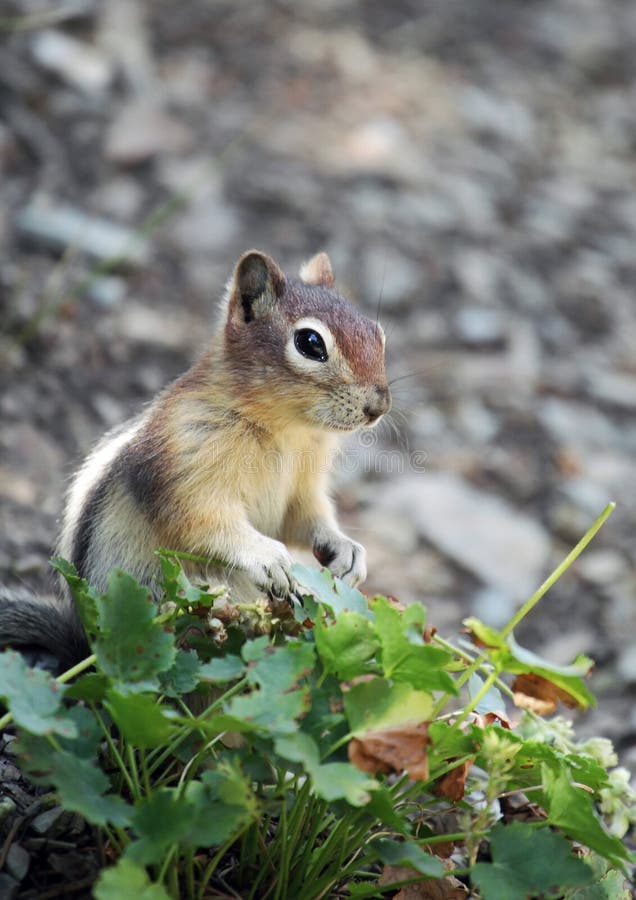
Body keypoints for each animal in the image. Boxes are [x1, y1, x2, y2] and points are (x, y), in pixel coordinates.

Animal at [0, 250, 391, 671]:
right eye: (310, 343)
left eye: (378, 333)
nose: (379, 406)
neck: (286, 429)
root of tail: (85, 649)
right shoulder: (186, 459)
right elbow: (203, 521)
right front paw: (267, 556)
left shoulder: (303, 484)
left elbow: (303, 518)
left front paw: (346, 548)